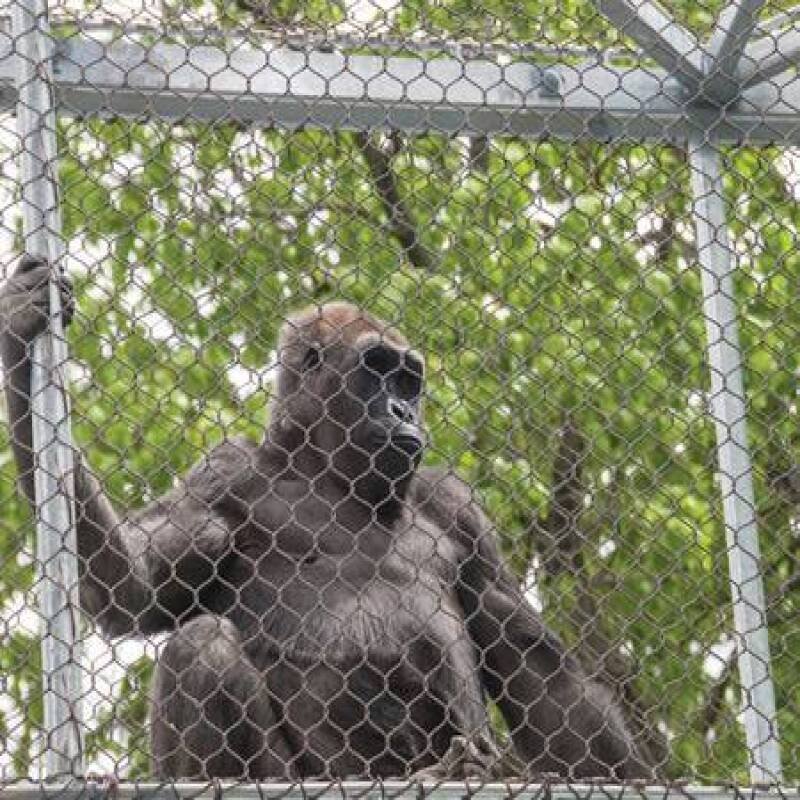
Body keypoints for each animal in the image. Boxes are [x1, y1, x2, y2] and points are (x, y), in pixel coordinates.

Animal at [0, 255, 649, 780]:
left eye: (408, 379)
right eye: (377, 368)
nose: (403, 409)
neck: (323, 471)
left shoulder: (458, 508)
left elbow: (530, 659)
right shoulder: (220, 478)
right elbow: (130, 589)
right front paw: (18, 333)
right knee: (201, 645)